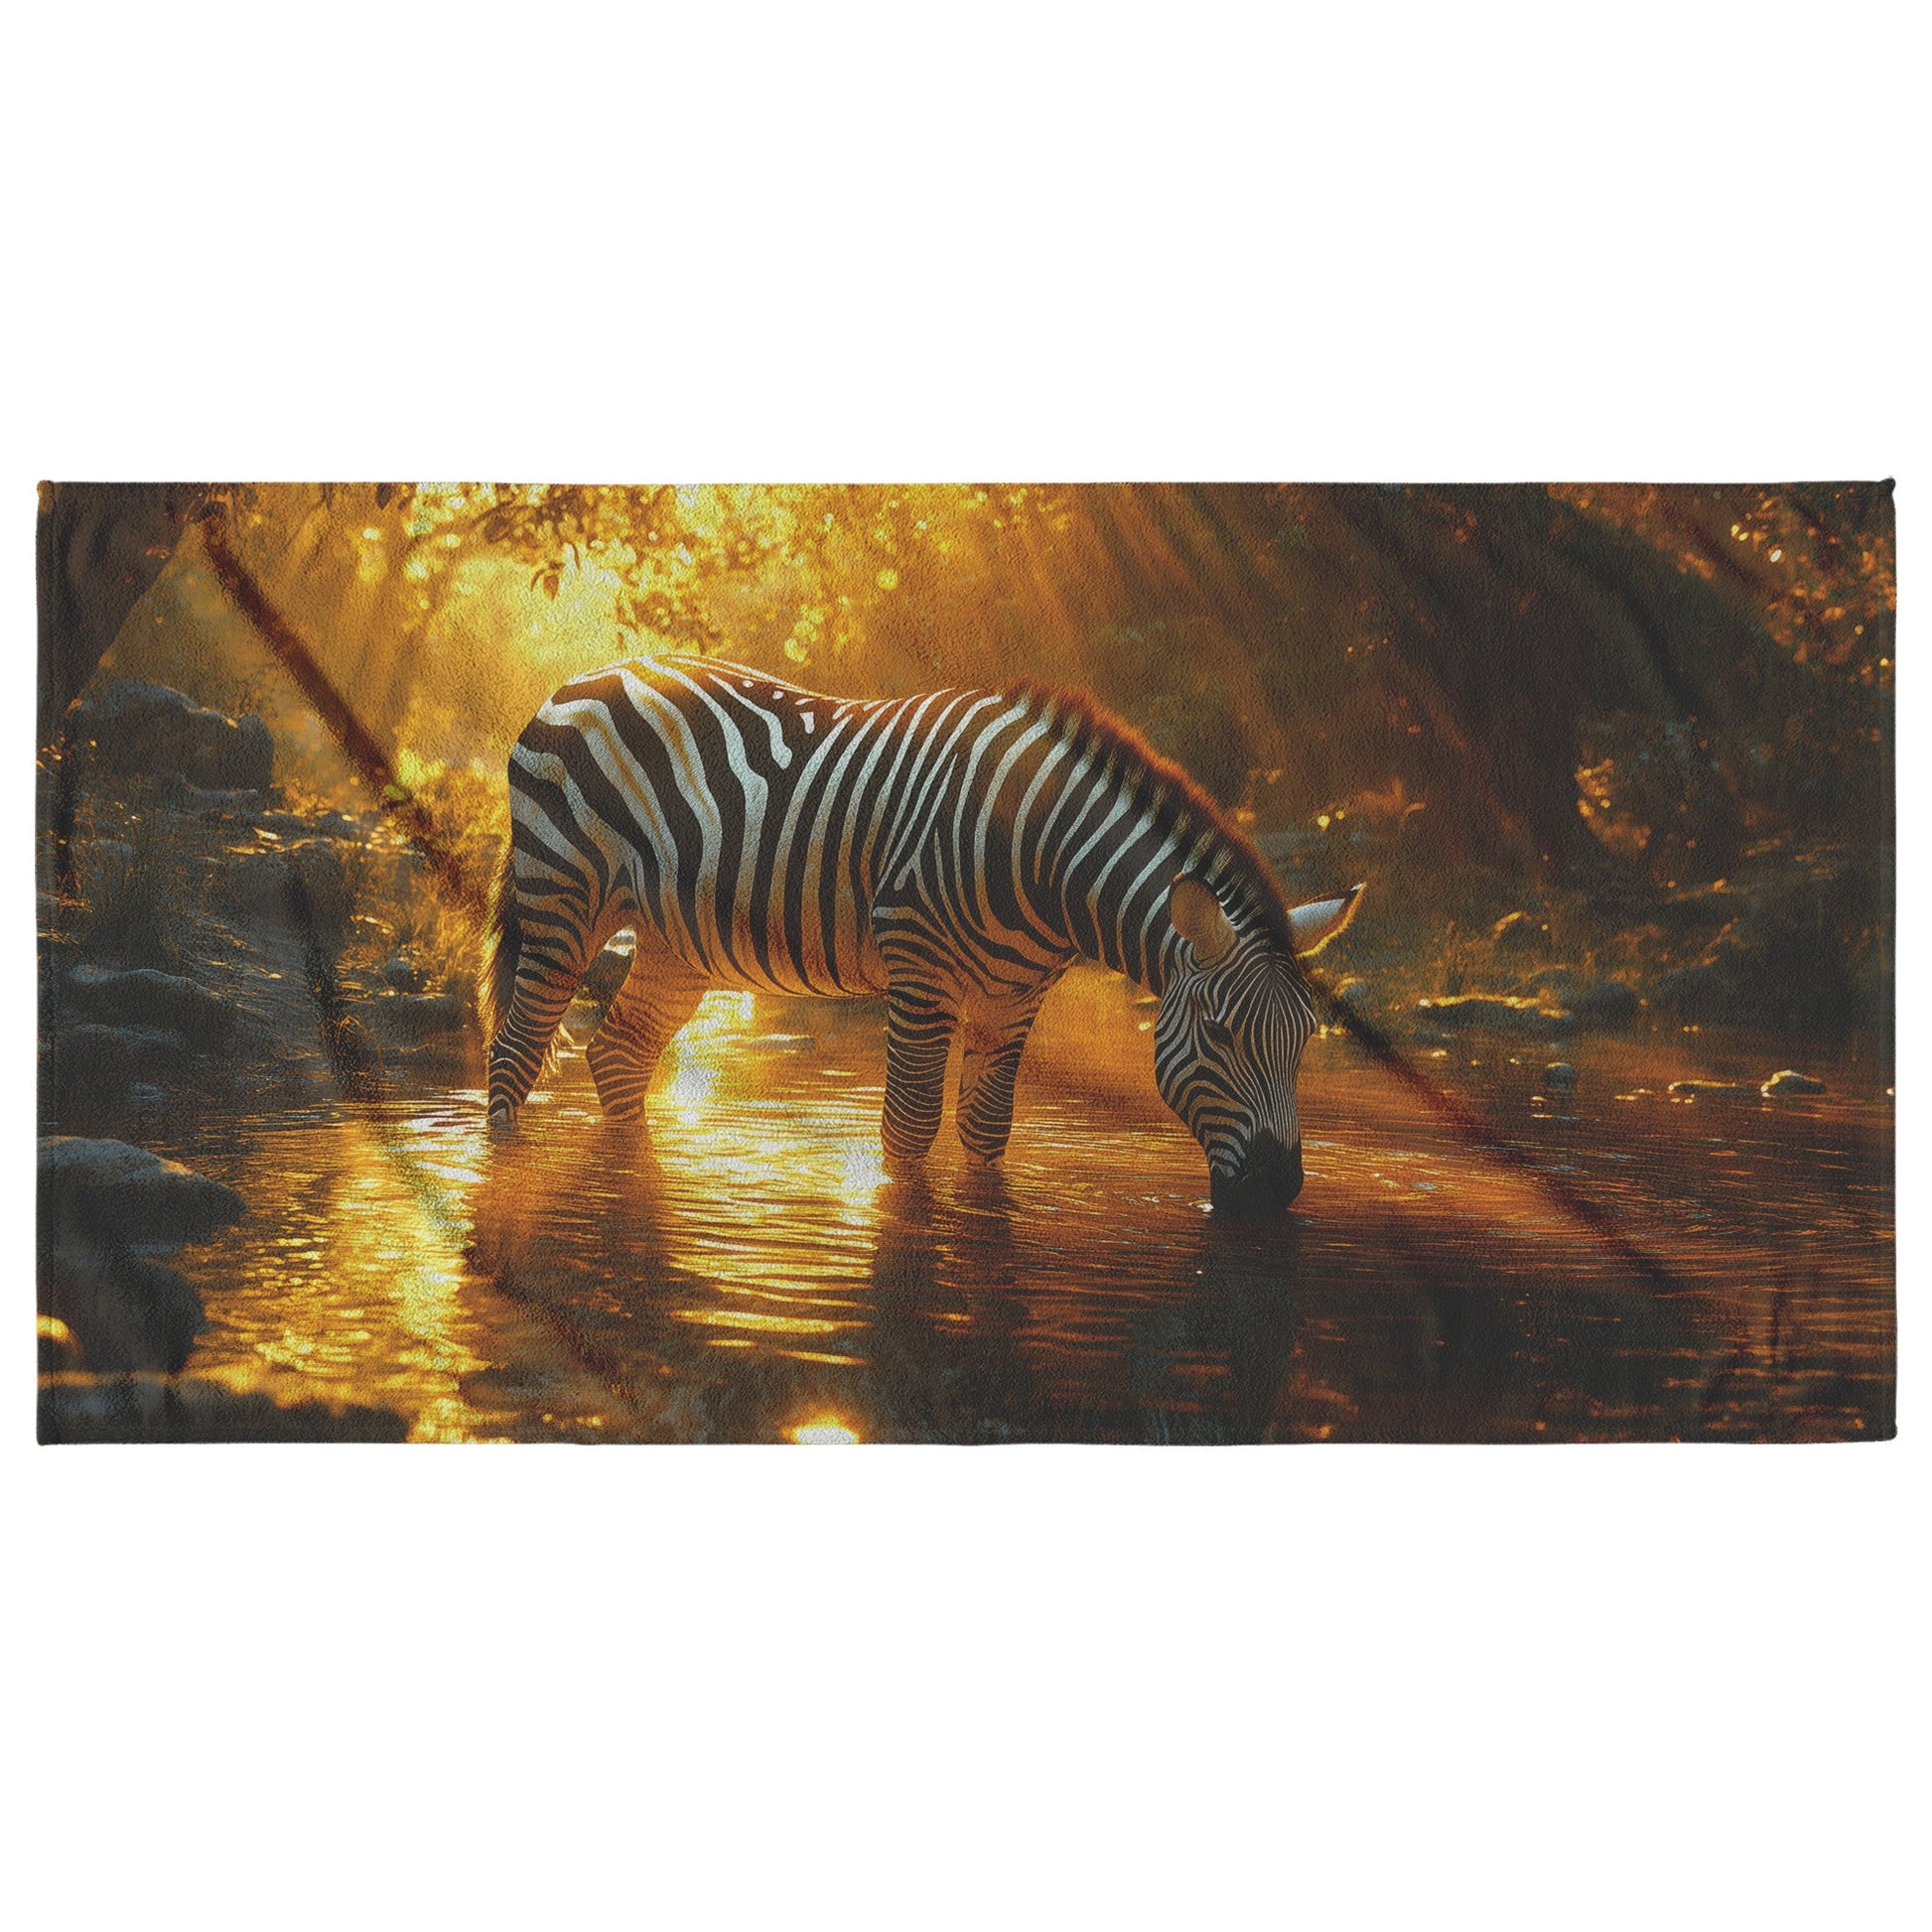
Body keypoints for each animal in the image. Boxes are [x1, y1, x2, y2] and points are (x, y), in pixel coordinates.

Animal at [481, 655, 1361, 1213]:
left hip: (676, 943)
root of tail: (586, 675)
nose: (1276, 1195)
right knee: (519, 1049)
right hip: (562, 897)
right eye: (1220, 1034)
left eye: (1302, 1041)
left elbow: (987, 1130)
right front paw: (903, 1217)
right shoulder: (920, 973)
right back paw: (501, 1175)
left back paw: (634, 1169)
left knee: (616, 1053)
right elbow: (907, 1130)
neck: (1041, 854)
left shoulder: (1014, 997)